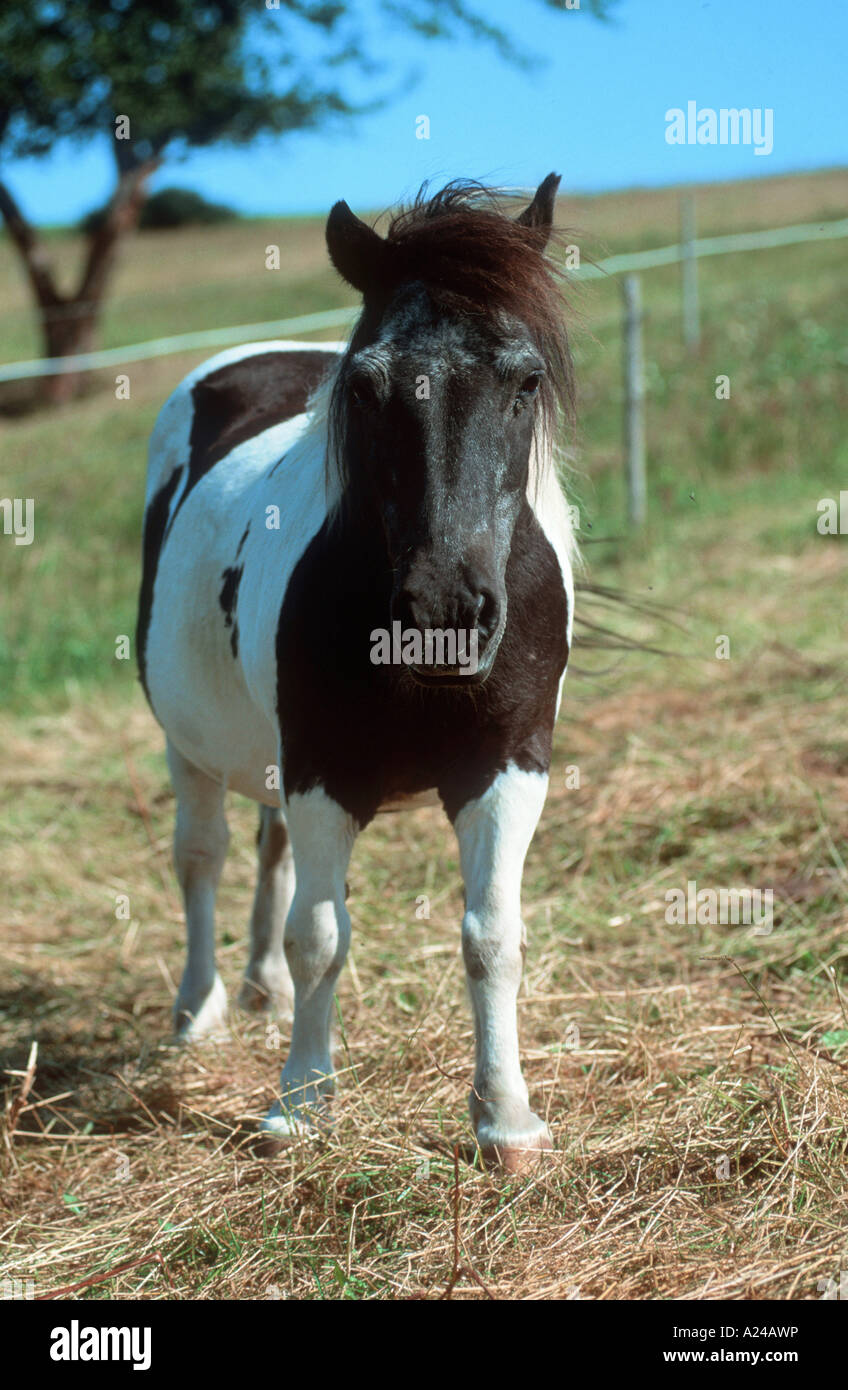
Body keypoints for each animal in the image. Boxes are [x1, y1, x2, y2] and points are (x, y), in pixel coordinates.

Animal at [137, 174, 576, 1171]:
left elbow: (493, 936)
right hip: (189, 744)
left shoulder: (509, 766)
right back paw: (200, 1011)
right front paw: (301, 1103)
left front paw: (506, 1120)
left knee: (267, 853)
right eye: (368, 386)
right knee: (202, 859)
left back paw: (259, 990)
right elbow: (321, 936)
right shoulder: (321, 770)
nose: (444, 618)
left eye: (526, 379)